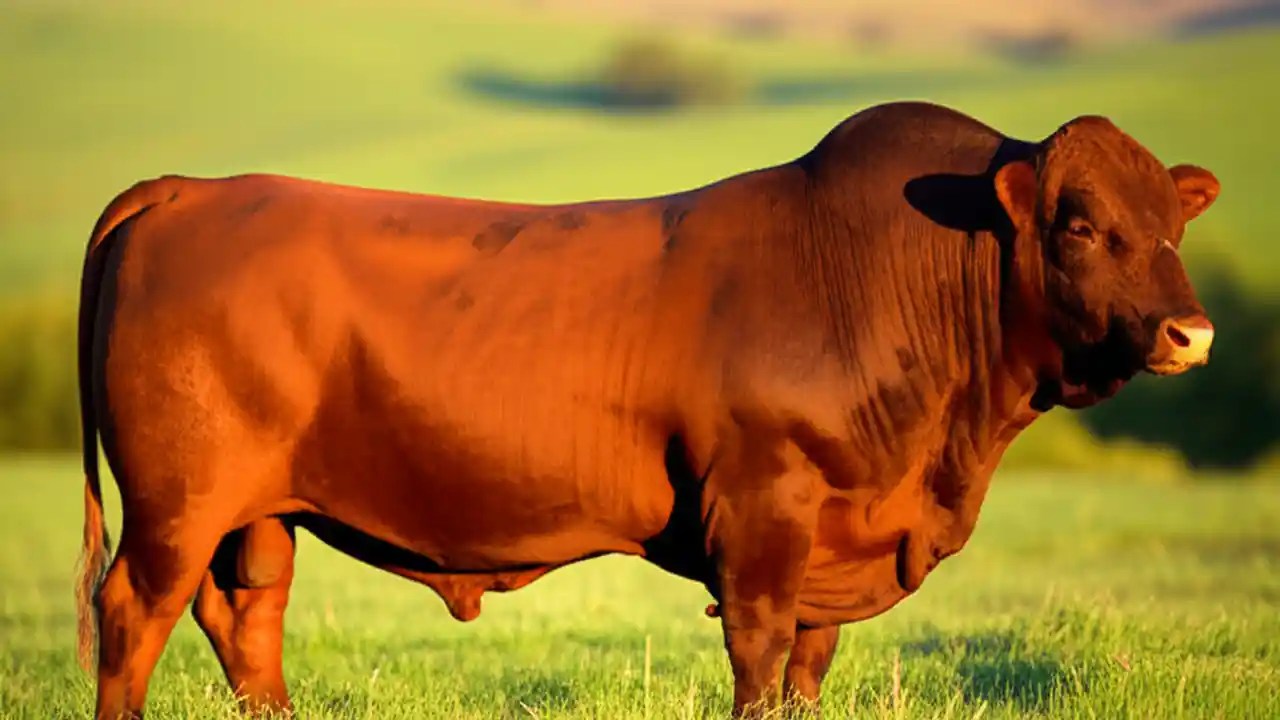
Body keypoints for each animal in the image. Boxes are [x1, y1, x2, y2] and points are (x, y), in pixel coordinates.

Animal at [75, 101, 1219, 718]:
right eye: (1080, 223)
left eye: (1170, 221)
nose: (1191, 333)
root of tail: (189, 187)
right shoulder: (763, 507)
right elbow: (758, 657)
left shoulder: (836, 536)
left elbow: (807, 668)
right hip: (177, 502)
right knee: (134, 615)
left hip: (257, 510)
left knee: (247, 616)